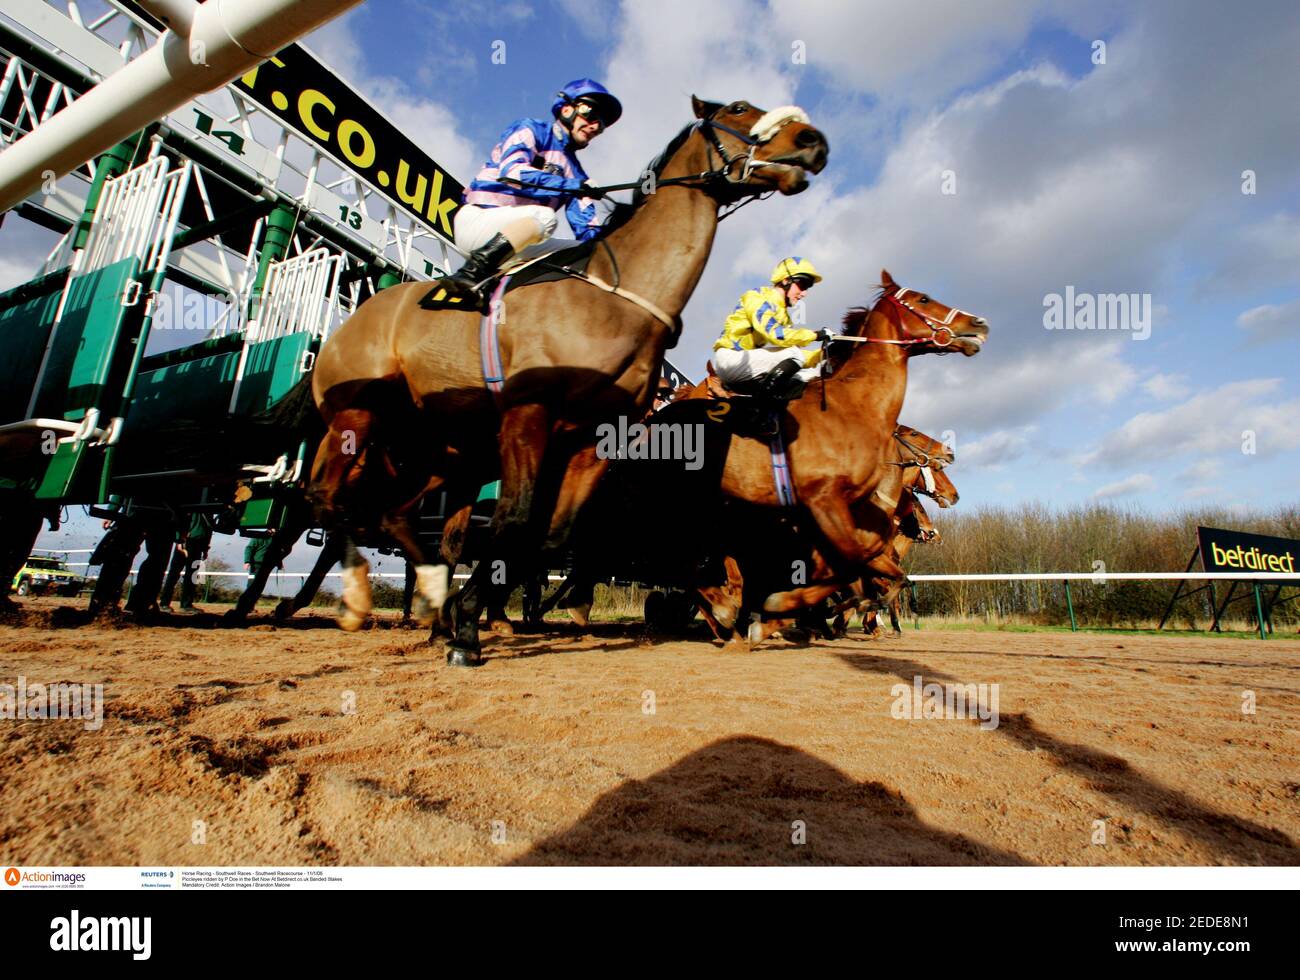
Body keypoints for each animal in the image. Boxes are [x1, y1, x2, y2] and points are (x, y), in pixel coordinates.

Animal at [307, 96, 828, 664]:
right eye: (738, 108)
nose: (813, 140)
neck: (615, 300)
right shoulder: (528, 413)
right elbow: (515, 520)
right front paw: (468, 628)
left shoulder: (593, 437)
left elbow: (551, 536)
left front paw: (465, 617)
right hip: (356, 415)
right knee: (326, 495)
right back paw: (363, 599)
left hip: (437, 447)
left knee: (392, 512)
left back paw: (431, 601)